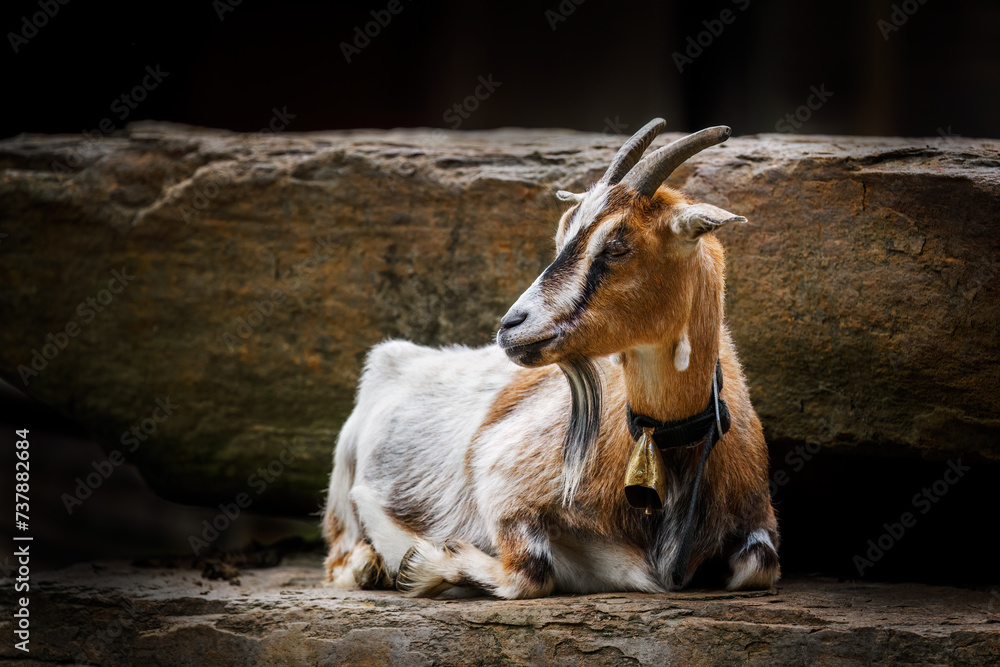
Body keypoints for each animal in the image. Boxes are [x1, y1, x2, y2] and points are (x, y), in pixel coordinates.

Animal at [323, 119, 779, 598]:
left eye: (617, 246)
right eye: (562, 236)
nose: (511, 325)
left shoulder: (758, 528)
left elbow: (757, 566)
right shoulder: (500, 480)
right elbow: (531, 571)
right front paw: (417, 564)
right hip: (344, 478)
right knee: (340, 555)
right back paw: (370, 565)